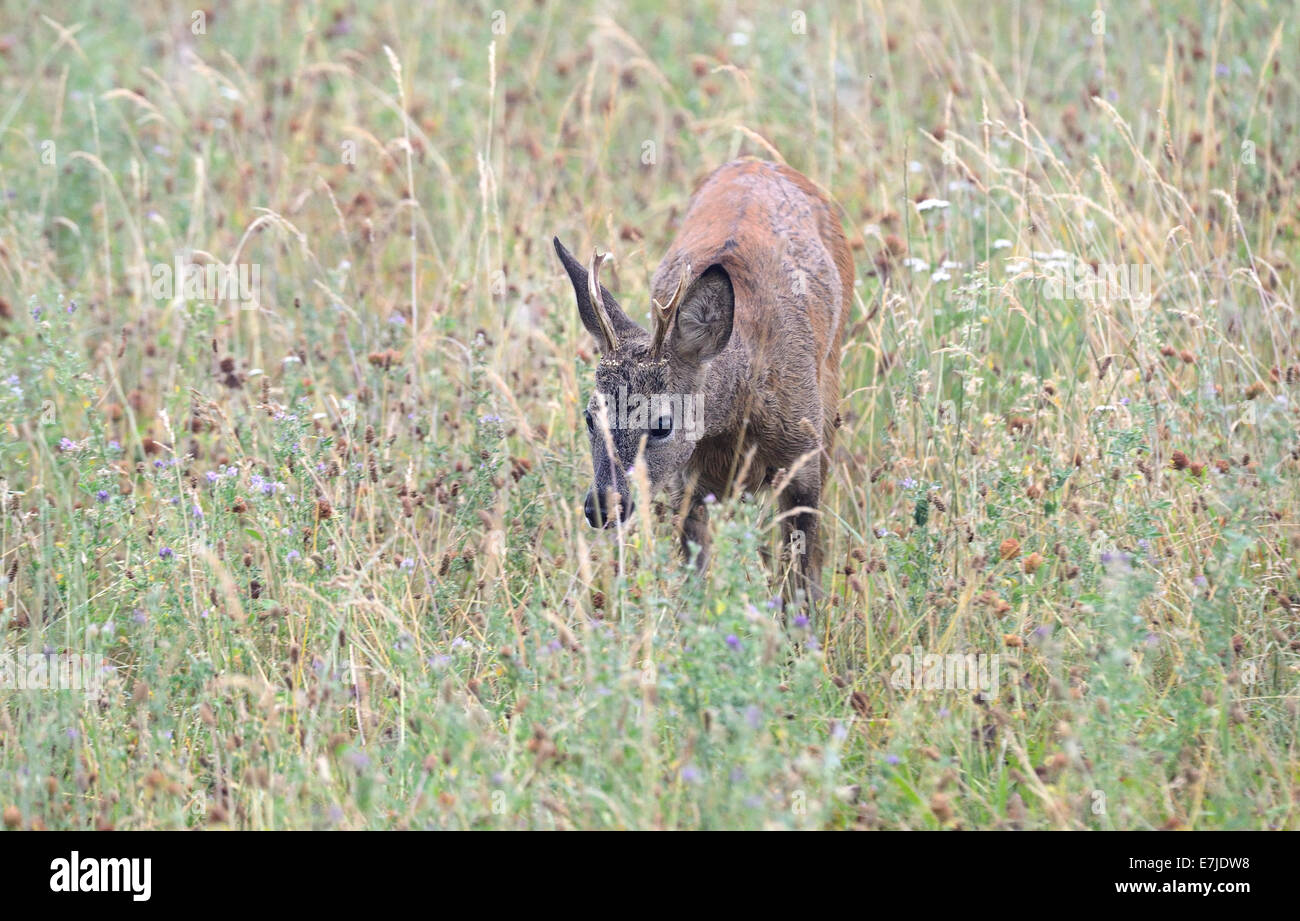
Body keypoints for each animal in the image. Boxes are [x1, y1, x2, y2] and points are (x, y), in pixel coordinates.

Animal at [554, 158, 854, 606]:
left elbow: (800, 582)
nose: (603, 507)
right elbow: (695, 582)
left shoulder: (802, 462)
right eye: (591, 417)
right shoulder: (686, 486)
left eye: (663, 424)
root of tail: (757, 161)